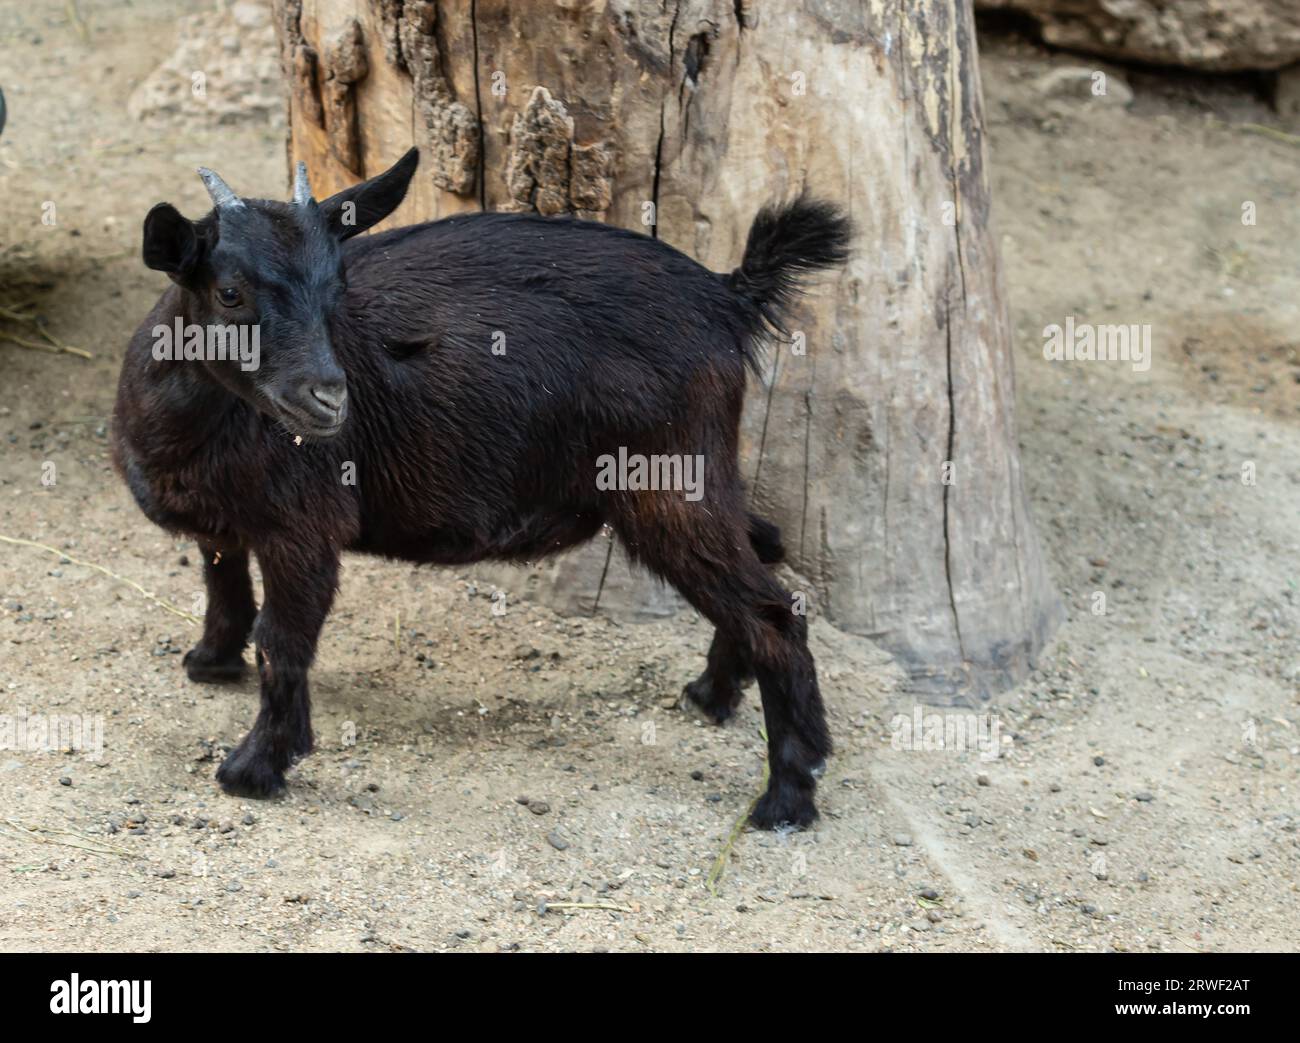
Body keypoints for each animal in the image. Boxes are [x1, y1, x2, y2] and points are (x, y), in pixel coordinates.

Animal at [112, 149, 851, 829]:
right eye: (229, 293)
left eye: (337, 288)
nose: (327, 399)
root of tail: (729, 297)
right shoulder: (225, 525)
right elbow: (222, 580)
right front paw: (209, 662)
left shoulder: (304, 529)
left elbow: (283, 637)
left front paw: (253, 768)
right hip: (697, 478)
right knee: (766, 546)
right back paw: (714, 693)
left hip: (666, 485)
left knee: (773, 613)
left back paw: (787, 795)